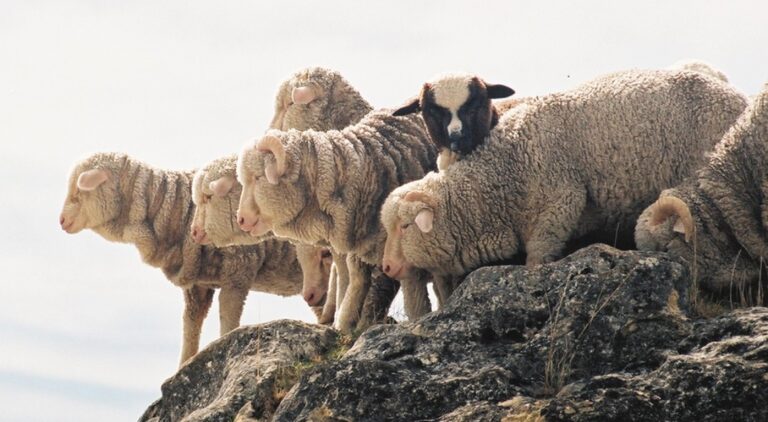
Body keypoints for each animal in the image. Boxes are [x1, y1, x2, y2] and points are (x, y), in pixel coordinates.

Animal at [59, 152, 308, 366]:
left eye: (78, 192)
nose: (61, 221)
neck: (178, 210)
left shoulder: (239, 266)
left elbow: (227, 317)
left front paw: (226, 344)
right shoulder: (198, 282)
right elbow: (191, 324)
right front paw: (184, 363)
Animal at [380, 67, 748, 283]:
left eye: (405, 226)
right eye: (430, 110)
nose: (386, 268)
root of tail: (733, 93)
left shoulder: (558, 204)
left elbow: (537, 259)